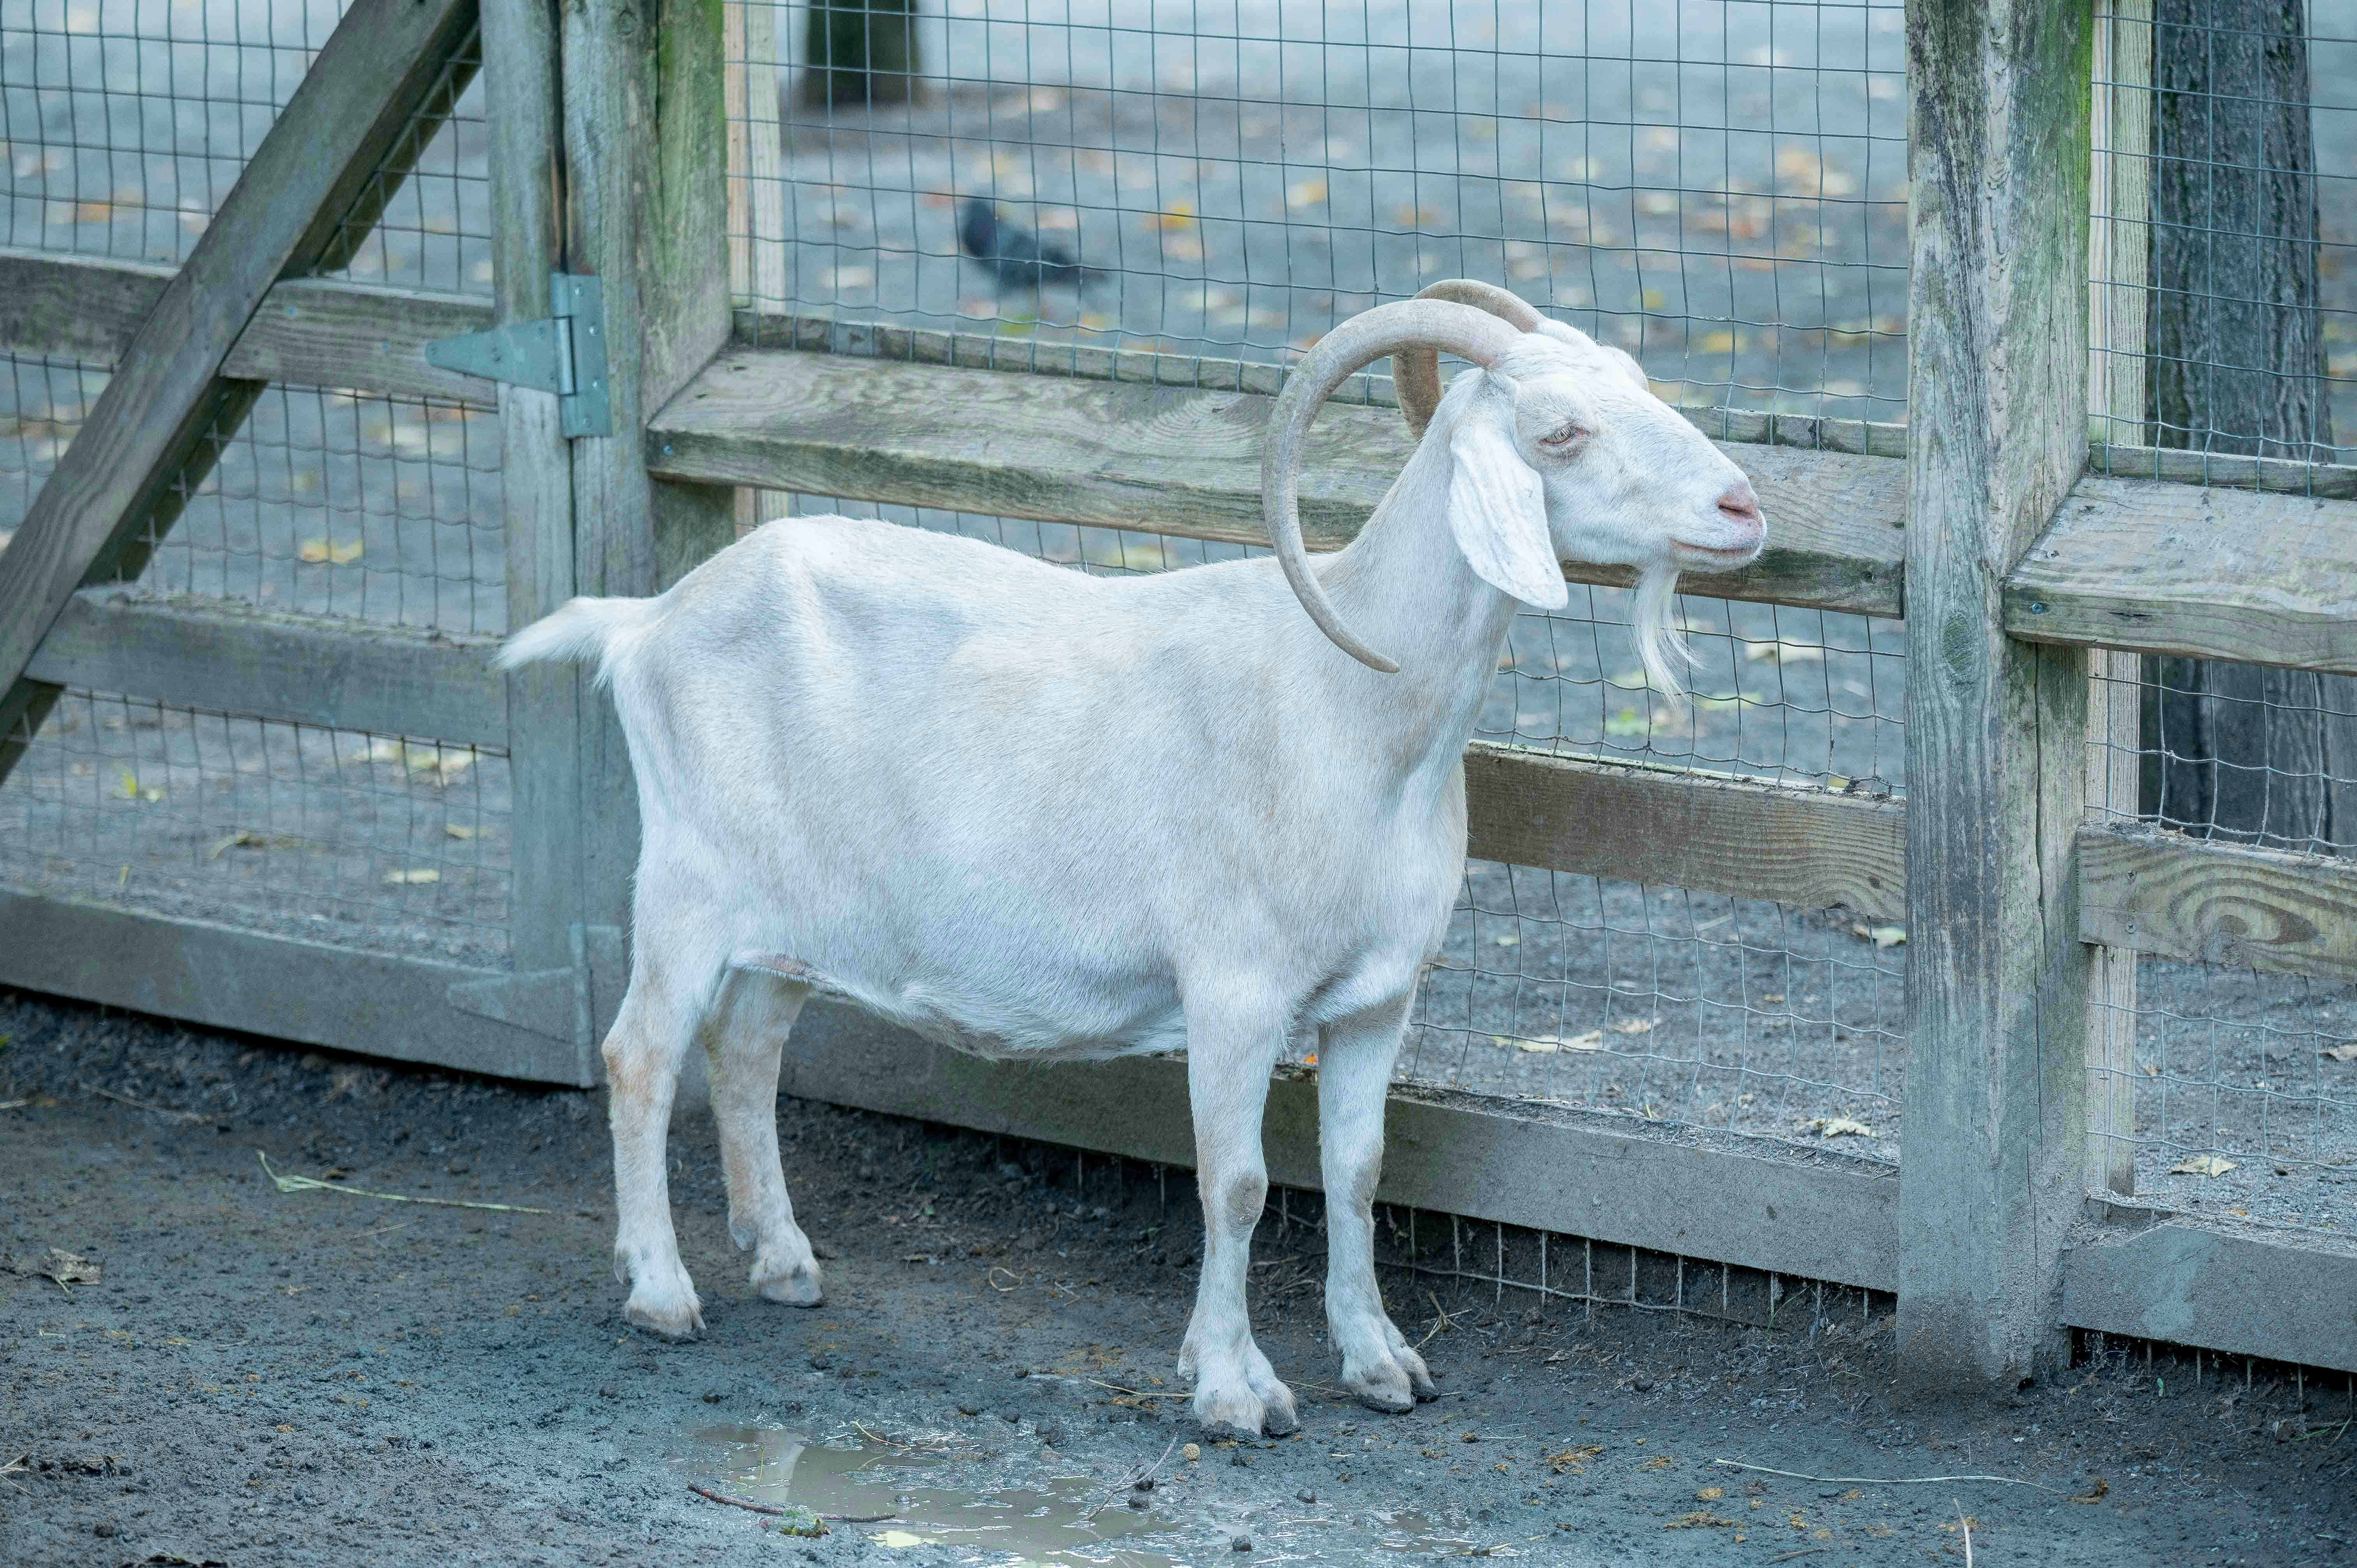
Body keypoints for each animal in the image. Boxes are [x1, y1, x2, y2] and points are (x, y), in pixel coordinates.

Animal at [495, 281, 1765, 1436]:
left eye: (1637, 383)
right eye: (1559, 431)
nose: (1743, 504)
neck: (1351, 702)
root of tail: (646, 620)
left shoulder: (1378, 999)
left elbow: (1358, 1171)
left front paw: (1381, 1364)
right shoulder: (1236, 991)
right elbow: (1240, 1183)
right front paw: (1236, 1389)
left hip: (792, 921)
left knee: (745, 1048)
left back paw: (784, 1259)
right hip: (687, 883)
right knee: (642, 1054)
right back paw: (663, 1290)